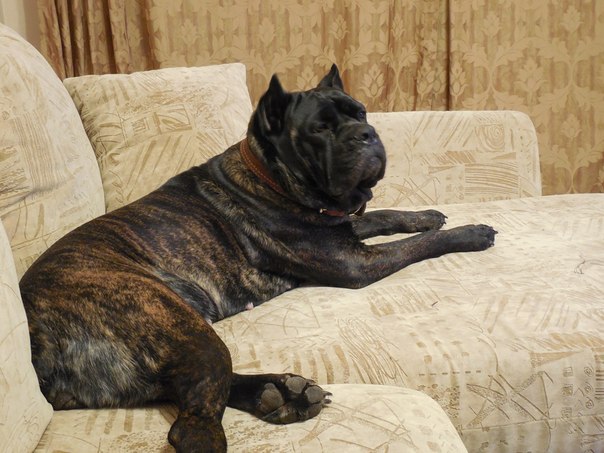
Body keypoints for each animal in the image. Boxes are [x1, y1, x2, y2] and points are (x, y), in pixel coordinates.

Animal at [20, 64, 497, 452]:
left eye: (360, 113)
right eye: (320, 129)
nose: (368, 134)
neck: (271, 175)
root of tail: (36, 337)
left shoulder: (341, 230)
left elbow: (385, 215)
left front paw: (426, 215)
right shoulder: (354, 262)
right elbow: (416, 246)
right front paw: (470, 233)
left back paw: (285, 393)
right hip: (174, 321)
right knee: (192, 425)